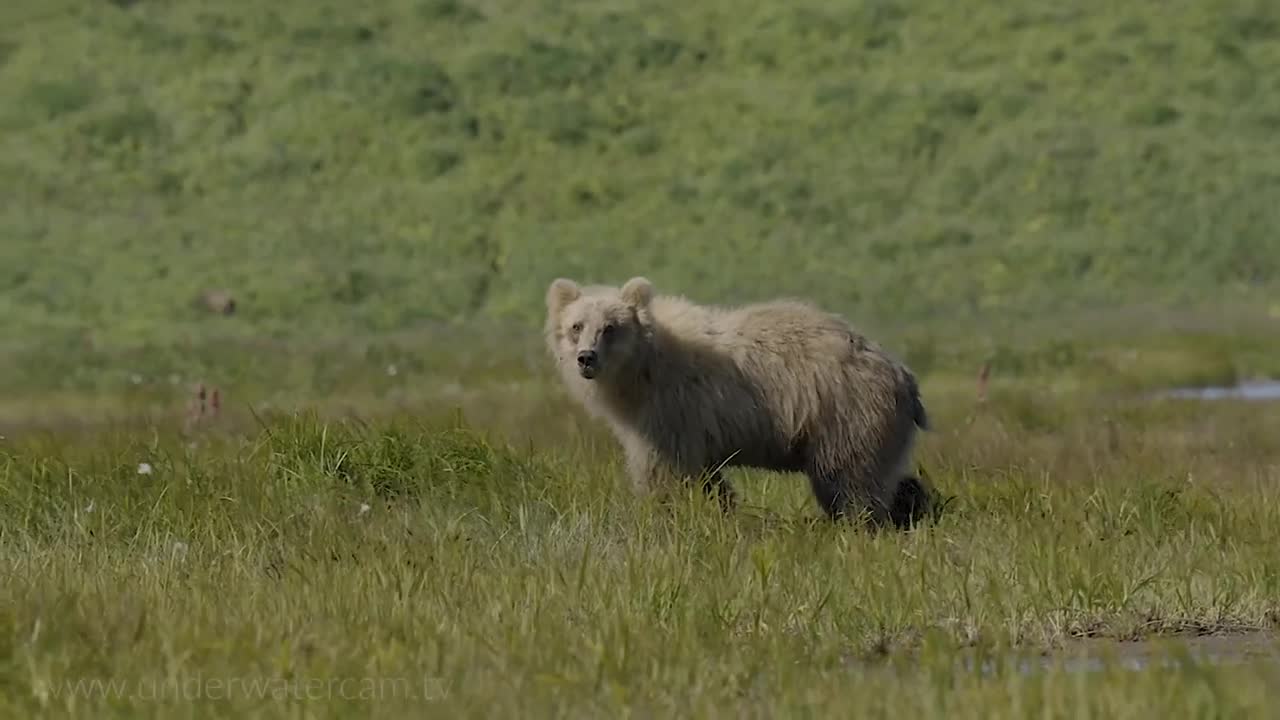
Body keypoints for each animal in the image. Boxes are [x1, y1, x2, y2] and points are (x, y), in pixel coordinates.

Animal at [544, 275, 933, 528]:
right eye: (576, 325)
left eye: (610, 327)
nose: (586, 358)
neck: (639, 374)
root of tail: (903, 373)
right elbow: (703, 476)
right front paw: (719, 506)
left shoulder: (671, 412)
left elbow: (665, 471)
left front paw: (664, 513)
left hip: (845, 414)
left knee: (848, 480)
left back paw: (860, 523)